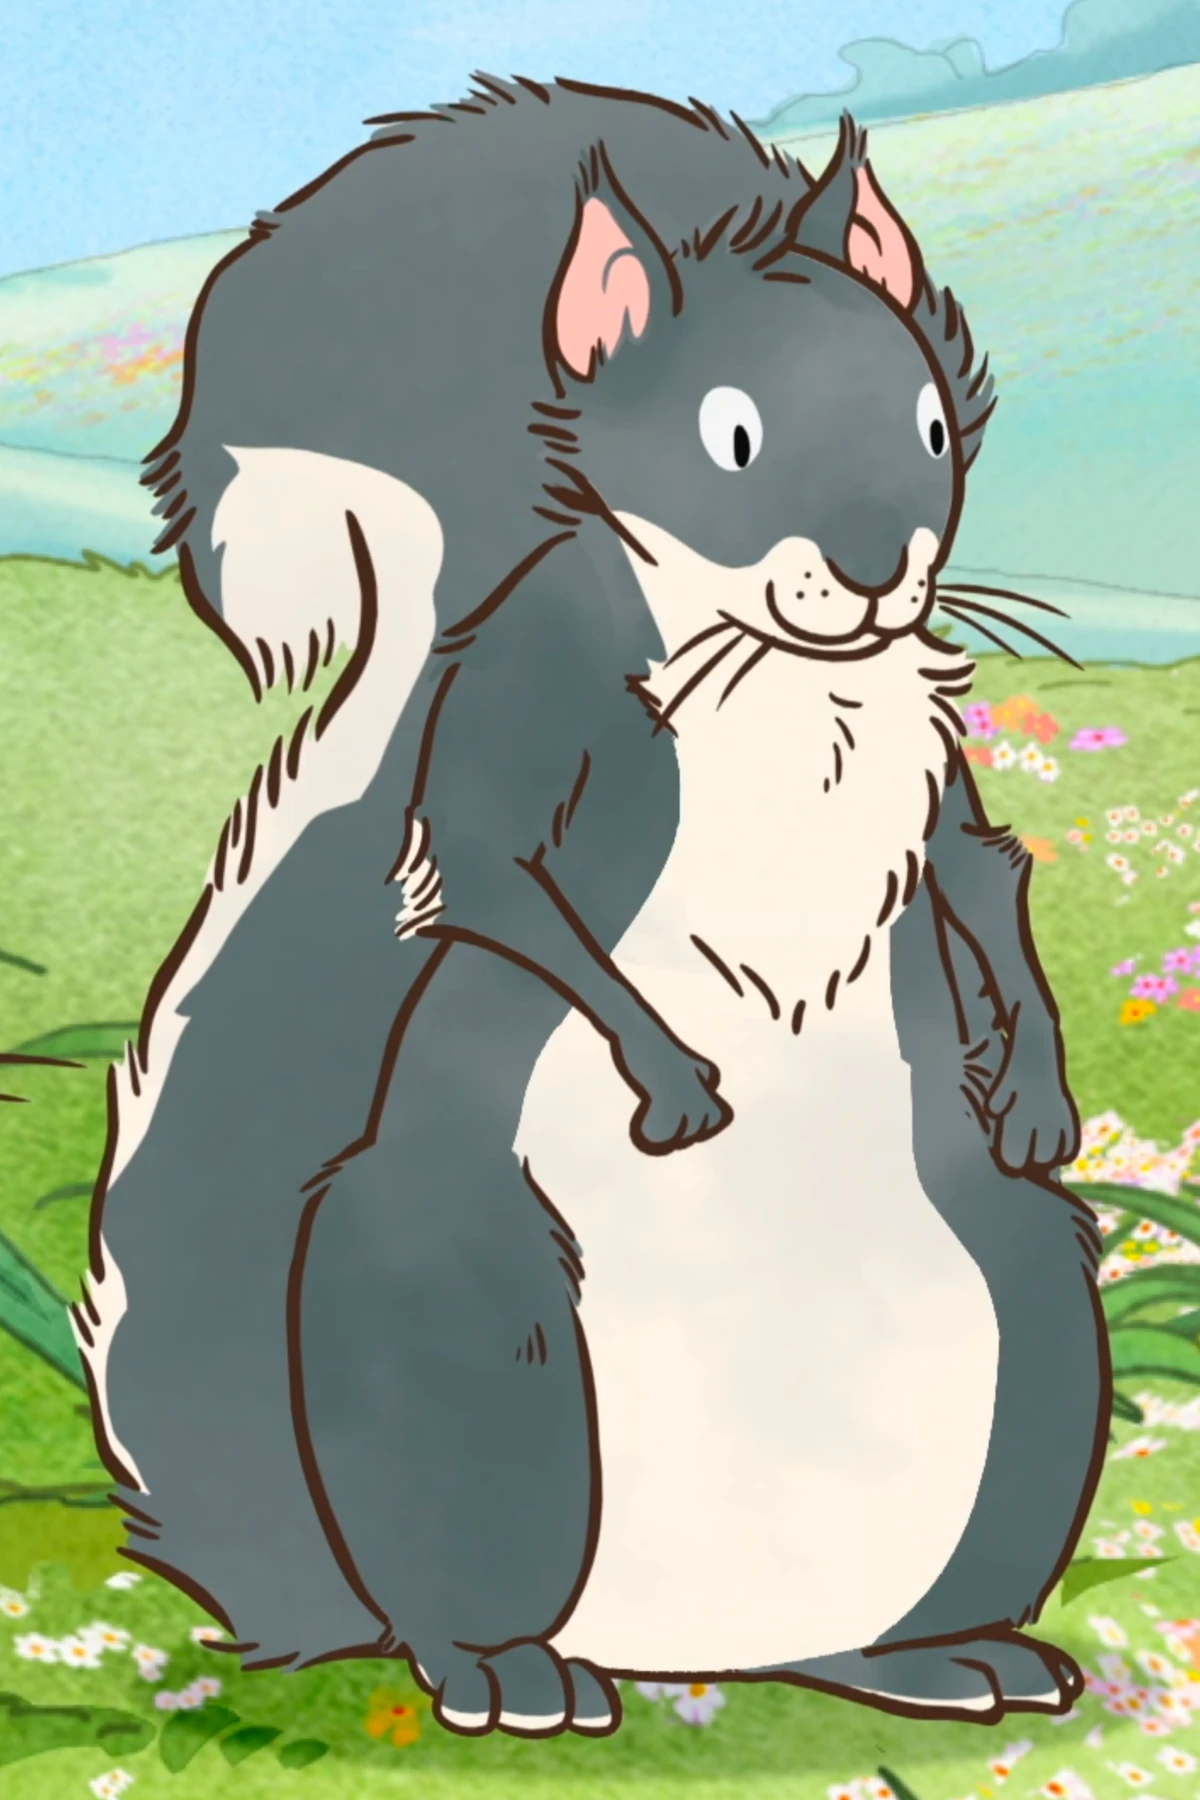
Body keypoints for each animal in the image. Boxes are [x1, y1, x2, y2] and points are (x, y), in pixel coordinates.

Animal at [72, 75, 1110, 1739]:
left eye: (935, 426)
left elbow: (981, 873)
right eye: (731, 438)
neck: (789, 677)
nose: (878, 569)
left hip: (1035, 1329)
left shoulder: (930, 778)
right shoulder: (529, 699)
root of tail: (702, 1650)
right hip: (468, 1325)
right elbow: (500, 874)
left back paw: (954, 1656)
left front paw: (1031, 1093)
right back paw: (505, 1673)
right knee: (460, 1575)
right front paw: (680, 1073)